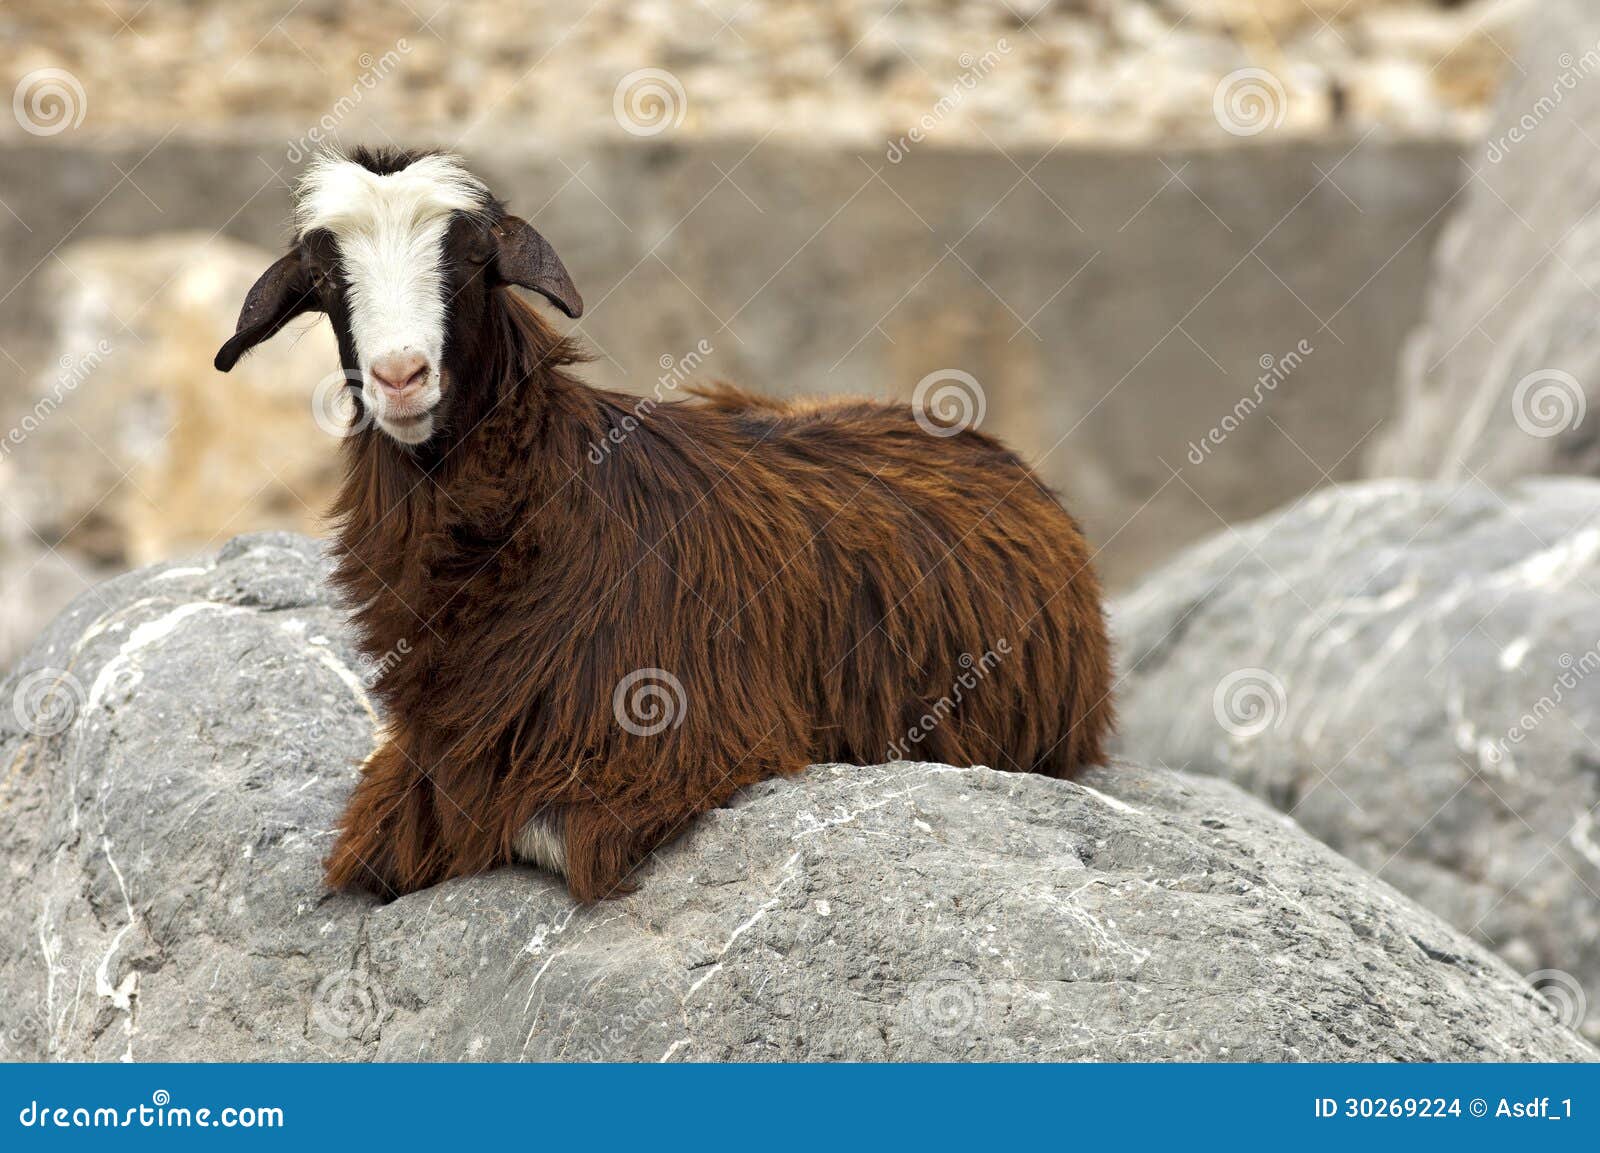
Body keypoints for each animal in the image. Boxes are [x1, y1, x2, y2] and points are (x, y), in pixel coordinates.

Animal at [214, 148, 1114, 901]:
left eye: (470, 260)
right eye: (325, 277)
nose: (401, 375)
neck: (547, 512)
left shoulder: (687, 741)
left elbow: (536, 829)